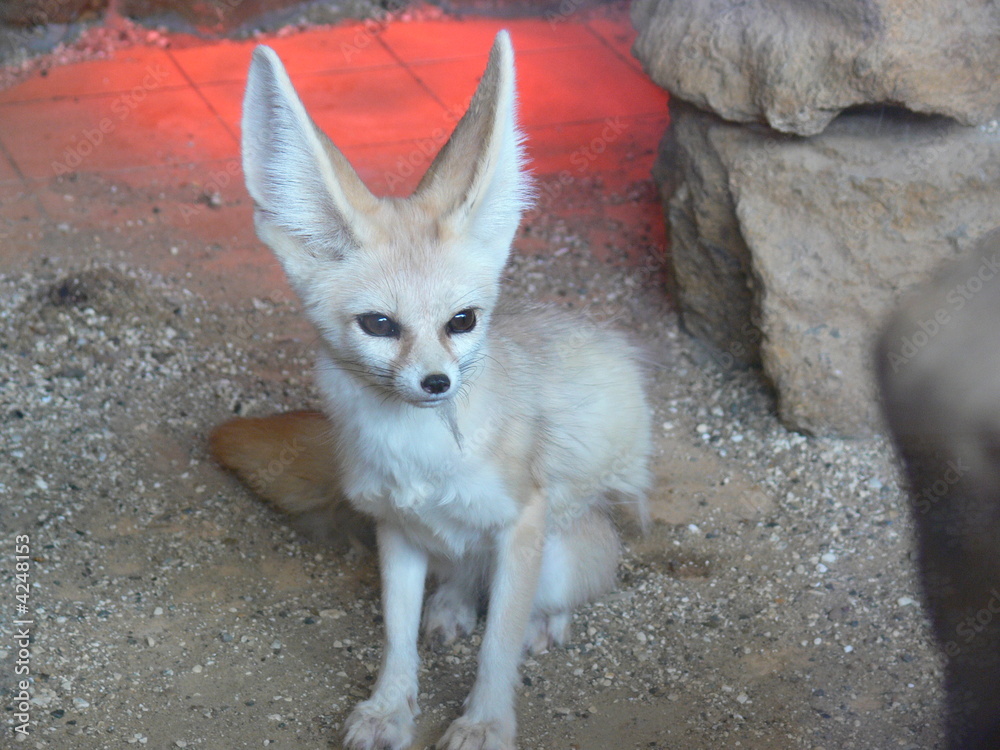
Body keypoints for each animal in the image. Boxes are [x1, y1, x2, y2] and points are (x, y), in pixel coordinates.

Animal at [211, 31, 653, 750]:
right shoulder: (397, 532)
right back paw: (449, 606)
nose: (436, 383)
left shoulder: (522, 525)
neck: (418, 456)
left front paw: (486, 722)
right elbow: (396, 637)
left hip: (559, 552)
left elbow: (498, 644)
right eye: (379, 325)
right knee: (460, 581)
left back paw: (543, 624)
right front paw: (390, 708)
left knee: (550, 598)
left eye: (462, 321)